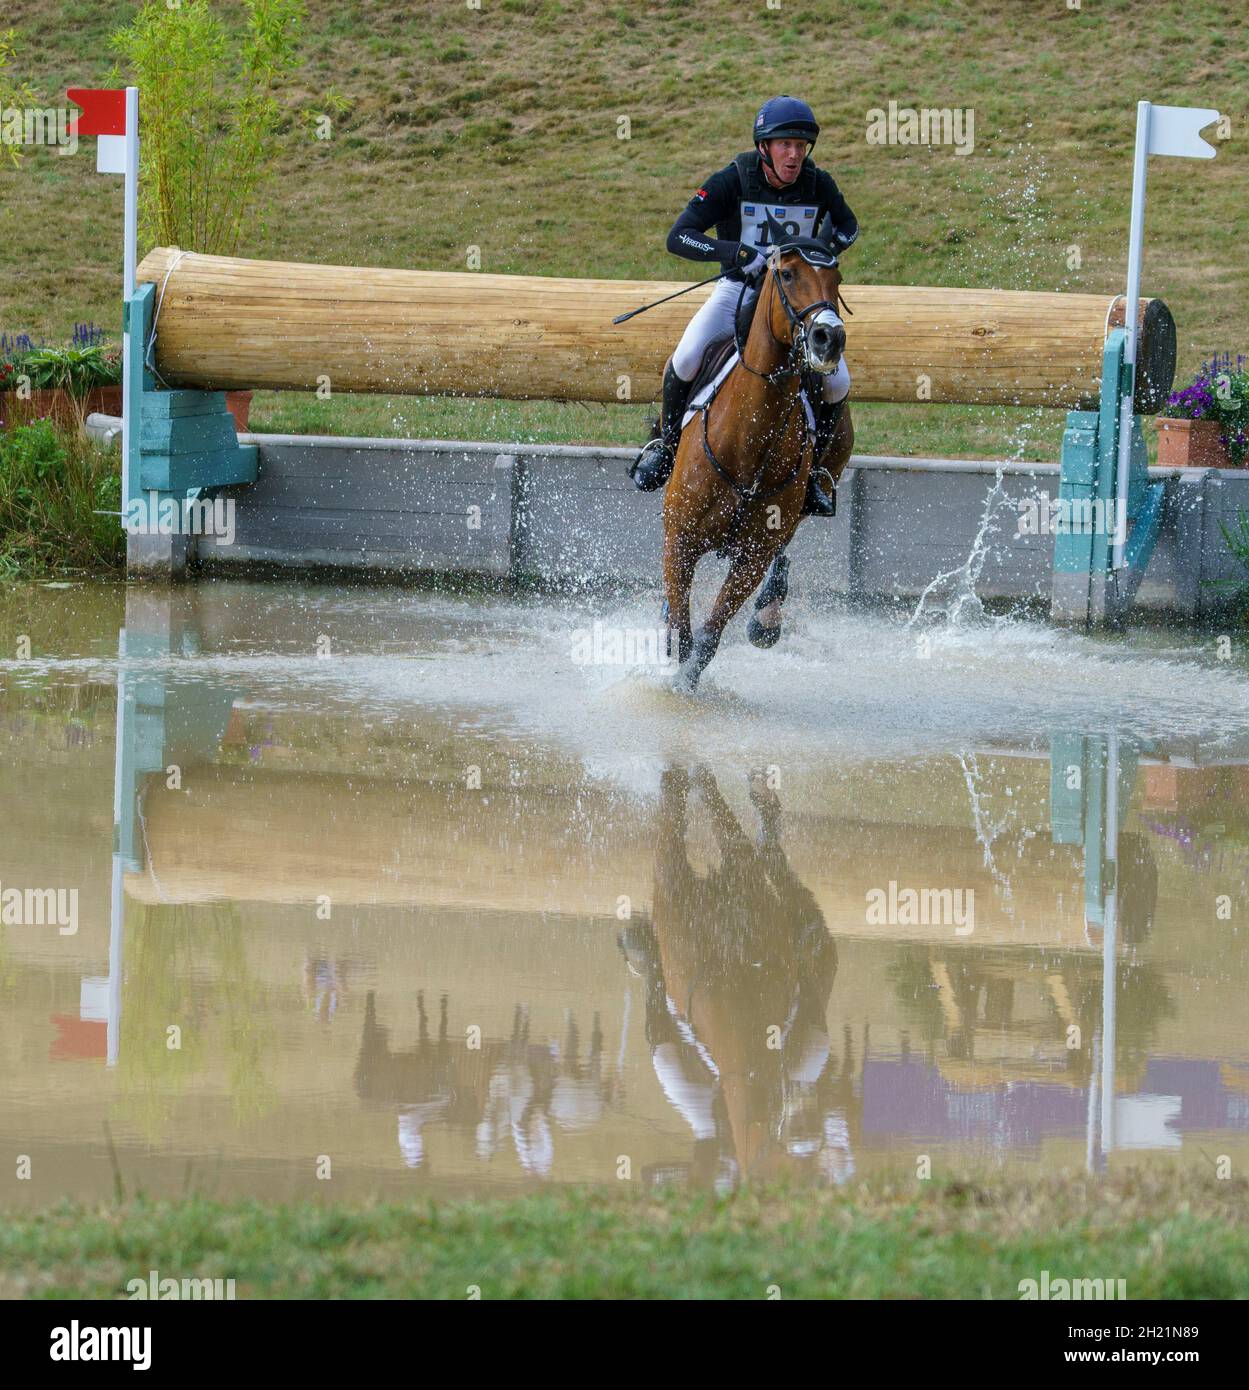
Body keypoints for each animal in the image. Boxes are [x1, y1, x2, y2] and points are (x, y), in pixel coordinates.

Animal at [662, 214, 854, 690]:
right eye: (786, 274)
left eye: (837, 279)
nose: (828, 339)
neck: (749, 440)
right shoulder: (680, 540)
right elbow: (682, 626)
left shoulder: (753, 555)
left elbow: (707, 639)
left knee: (785, 551)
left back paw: (768, 616)